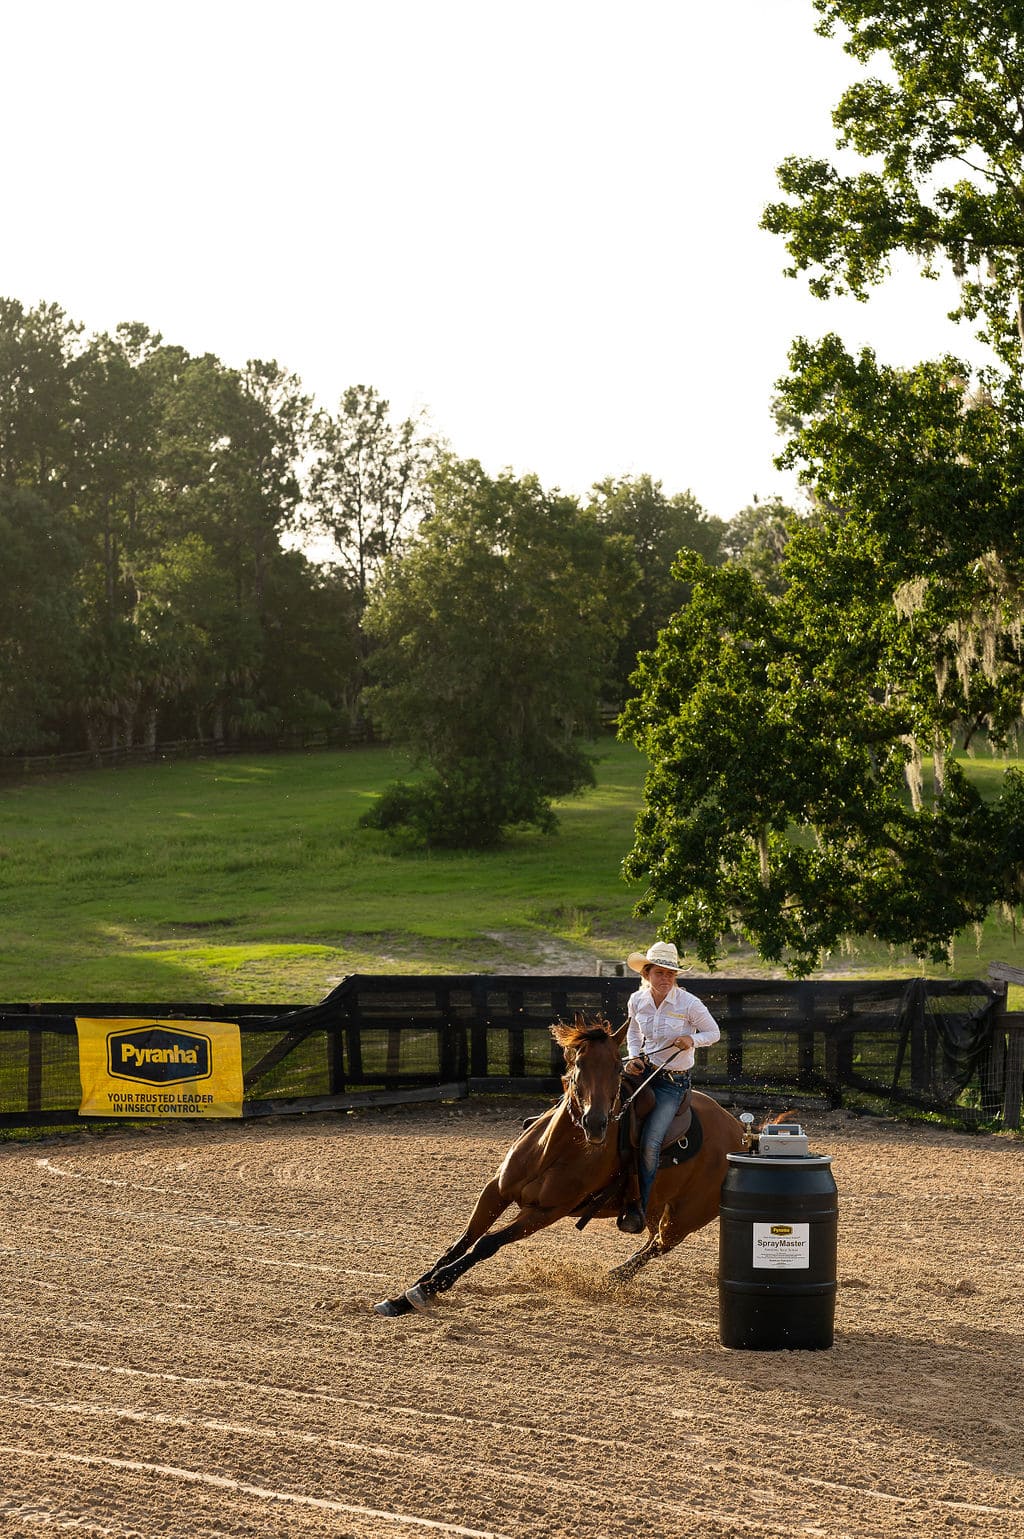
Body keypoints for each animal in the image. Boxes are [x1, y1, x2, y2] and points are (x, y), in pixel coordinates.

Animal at [373, 1014, 747, 1317]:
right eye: (578, 1064)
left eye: (616, 1067)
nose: (595, 1124)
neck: (550, 1152)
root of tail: (740, 1132)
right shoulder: (496, 1191)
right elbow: (463, 1240)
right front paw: (403, 1297)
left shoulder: (547, 1211)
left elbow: (486, 1244)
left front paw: (427, 1290)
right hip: (657, 1205)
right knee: (651, 1240)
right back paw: (613, 1275)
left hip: (685, 1217)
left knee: (659, 1246)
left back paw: (613, 1276)